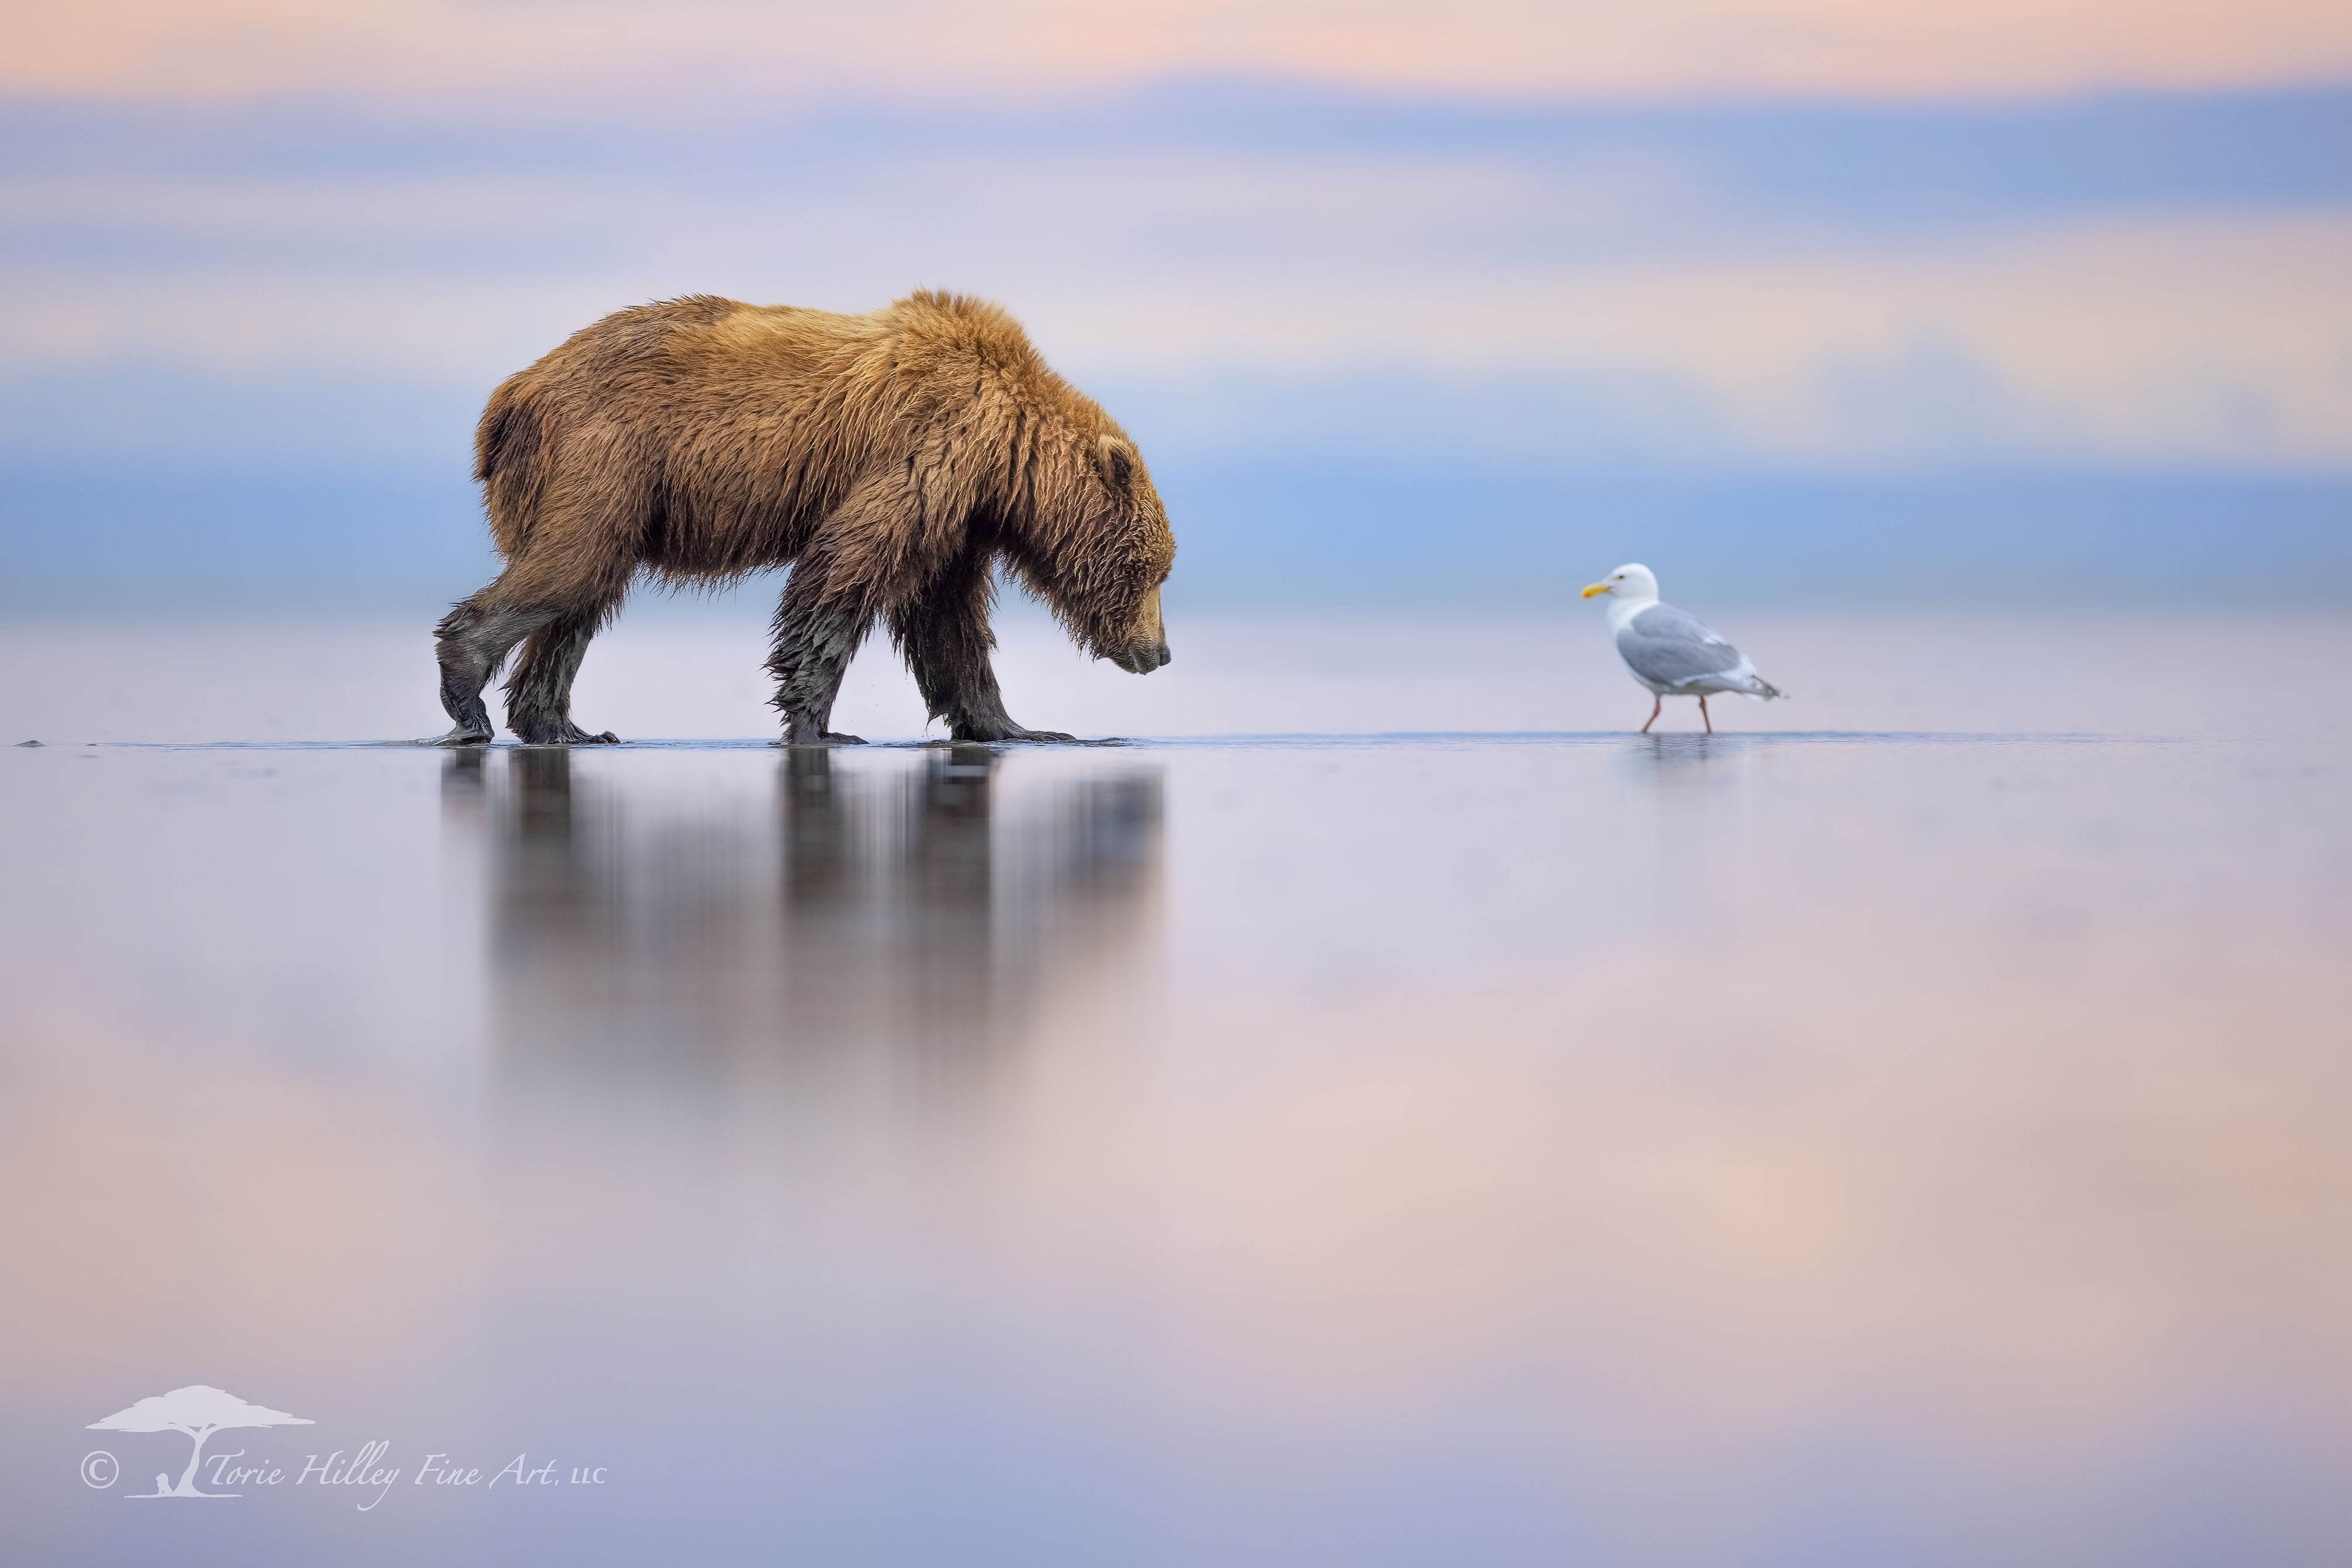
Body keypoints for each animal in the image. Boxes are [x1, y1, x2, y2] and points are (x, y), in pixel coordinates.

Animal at [433, 290, 1175, 745]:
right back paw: (467, 690)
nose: (1161, 652)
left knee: (581, 602)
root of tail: (509, 397)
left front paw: (1020, 725)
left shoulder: (961, 518)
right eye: (1153, 570)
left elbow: (949, 622)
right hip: (604, 458)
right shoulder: (928, 449)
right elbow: (845, 569)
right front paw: (820, 723)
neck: (1009, 461)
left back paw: (565, 726)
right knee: (570, 568)